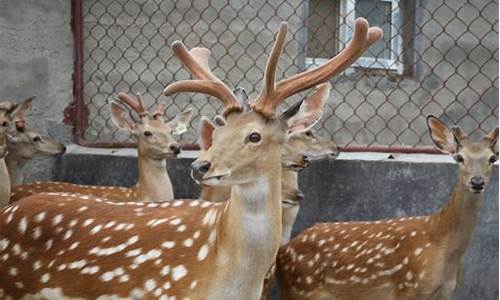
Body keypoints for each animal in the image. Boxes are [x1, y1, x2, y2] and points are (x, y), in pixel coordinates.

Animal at [276, 115, 498, 300]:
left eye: (492, 158)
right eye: (459, 157)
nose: (477, 181)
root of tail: (283, 250)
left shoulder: (446, 293)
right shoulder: (407, 289)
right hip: (300, 288)